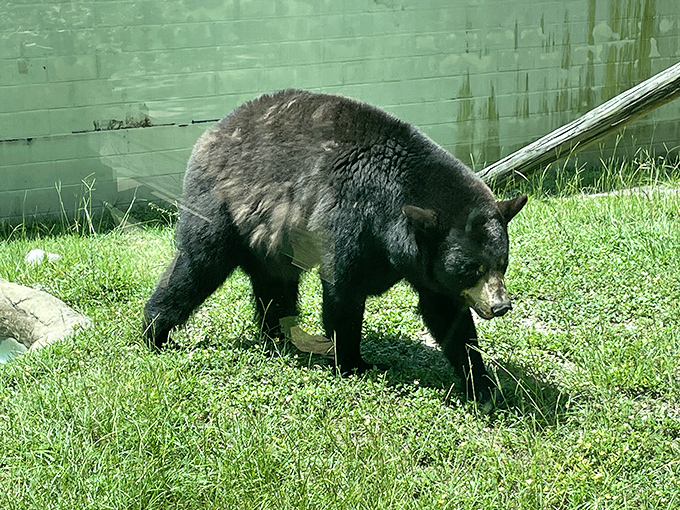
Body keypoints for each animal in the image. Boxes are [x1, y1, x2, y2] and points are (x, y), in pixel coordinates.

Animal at [143, 89, 526, 403]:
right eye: (471, 268)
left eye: (502, 263)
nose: (501, 306)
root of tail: (213, 131)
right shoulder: (352, 214)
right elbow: (344, 290)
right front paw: (355, 362)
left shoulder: (425, 259)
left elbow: (446, 315)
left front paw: (483, 386)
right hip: (221, 204)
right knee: (197, 264)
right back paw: (155, 333)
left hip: (268, 238)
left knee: (275, 284)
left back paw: (278, 334)